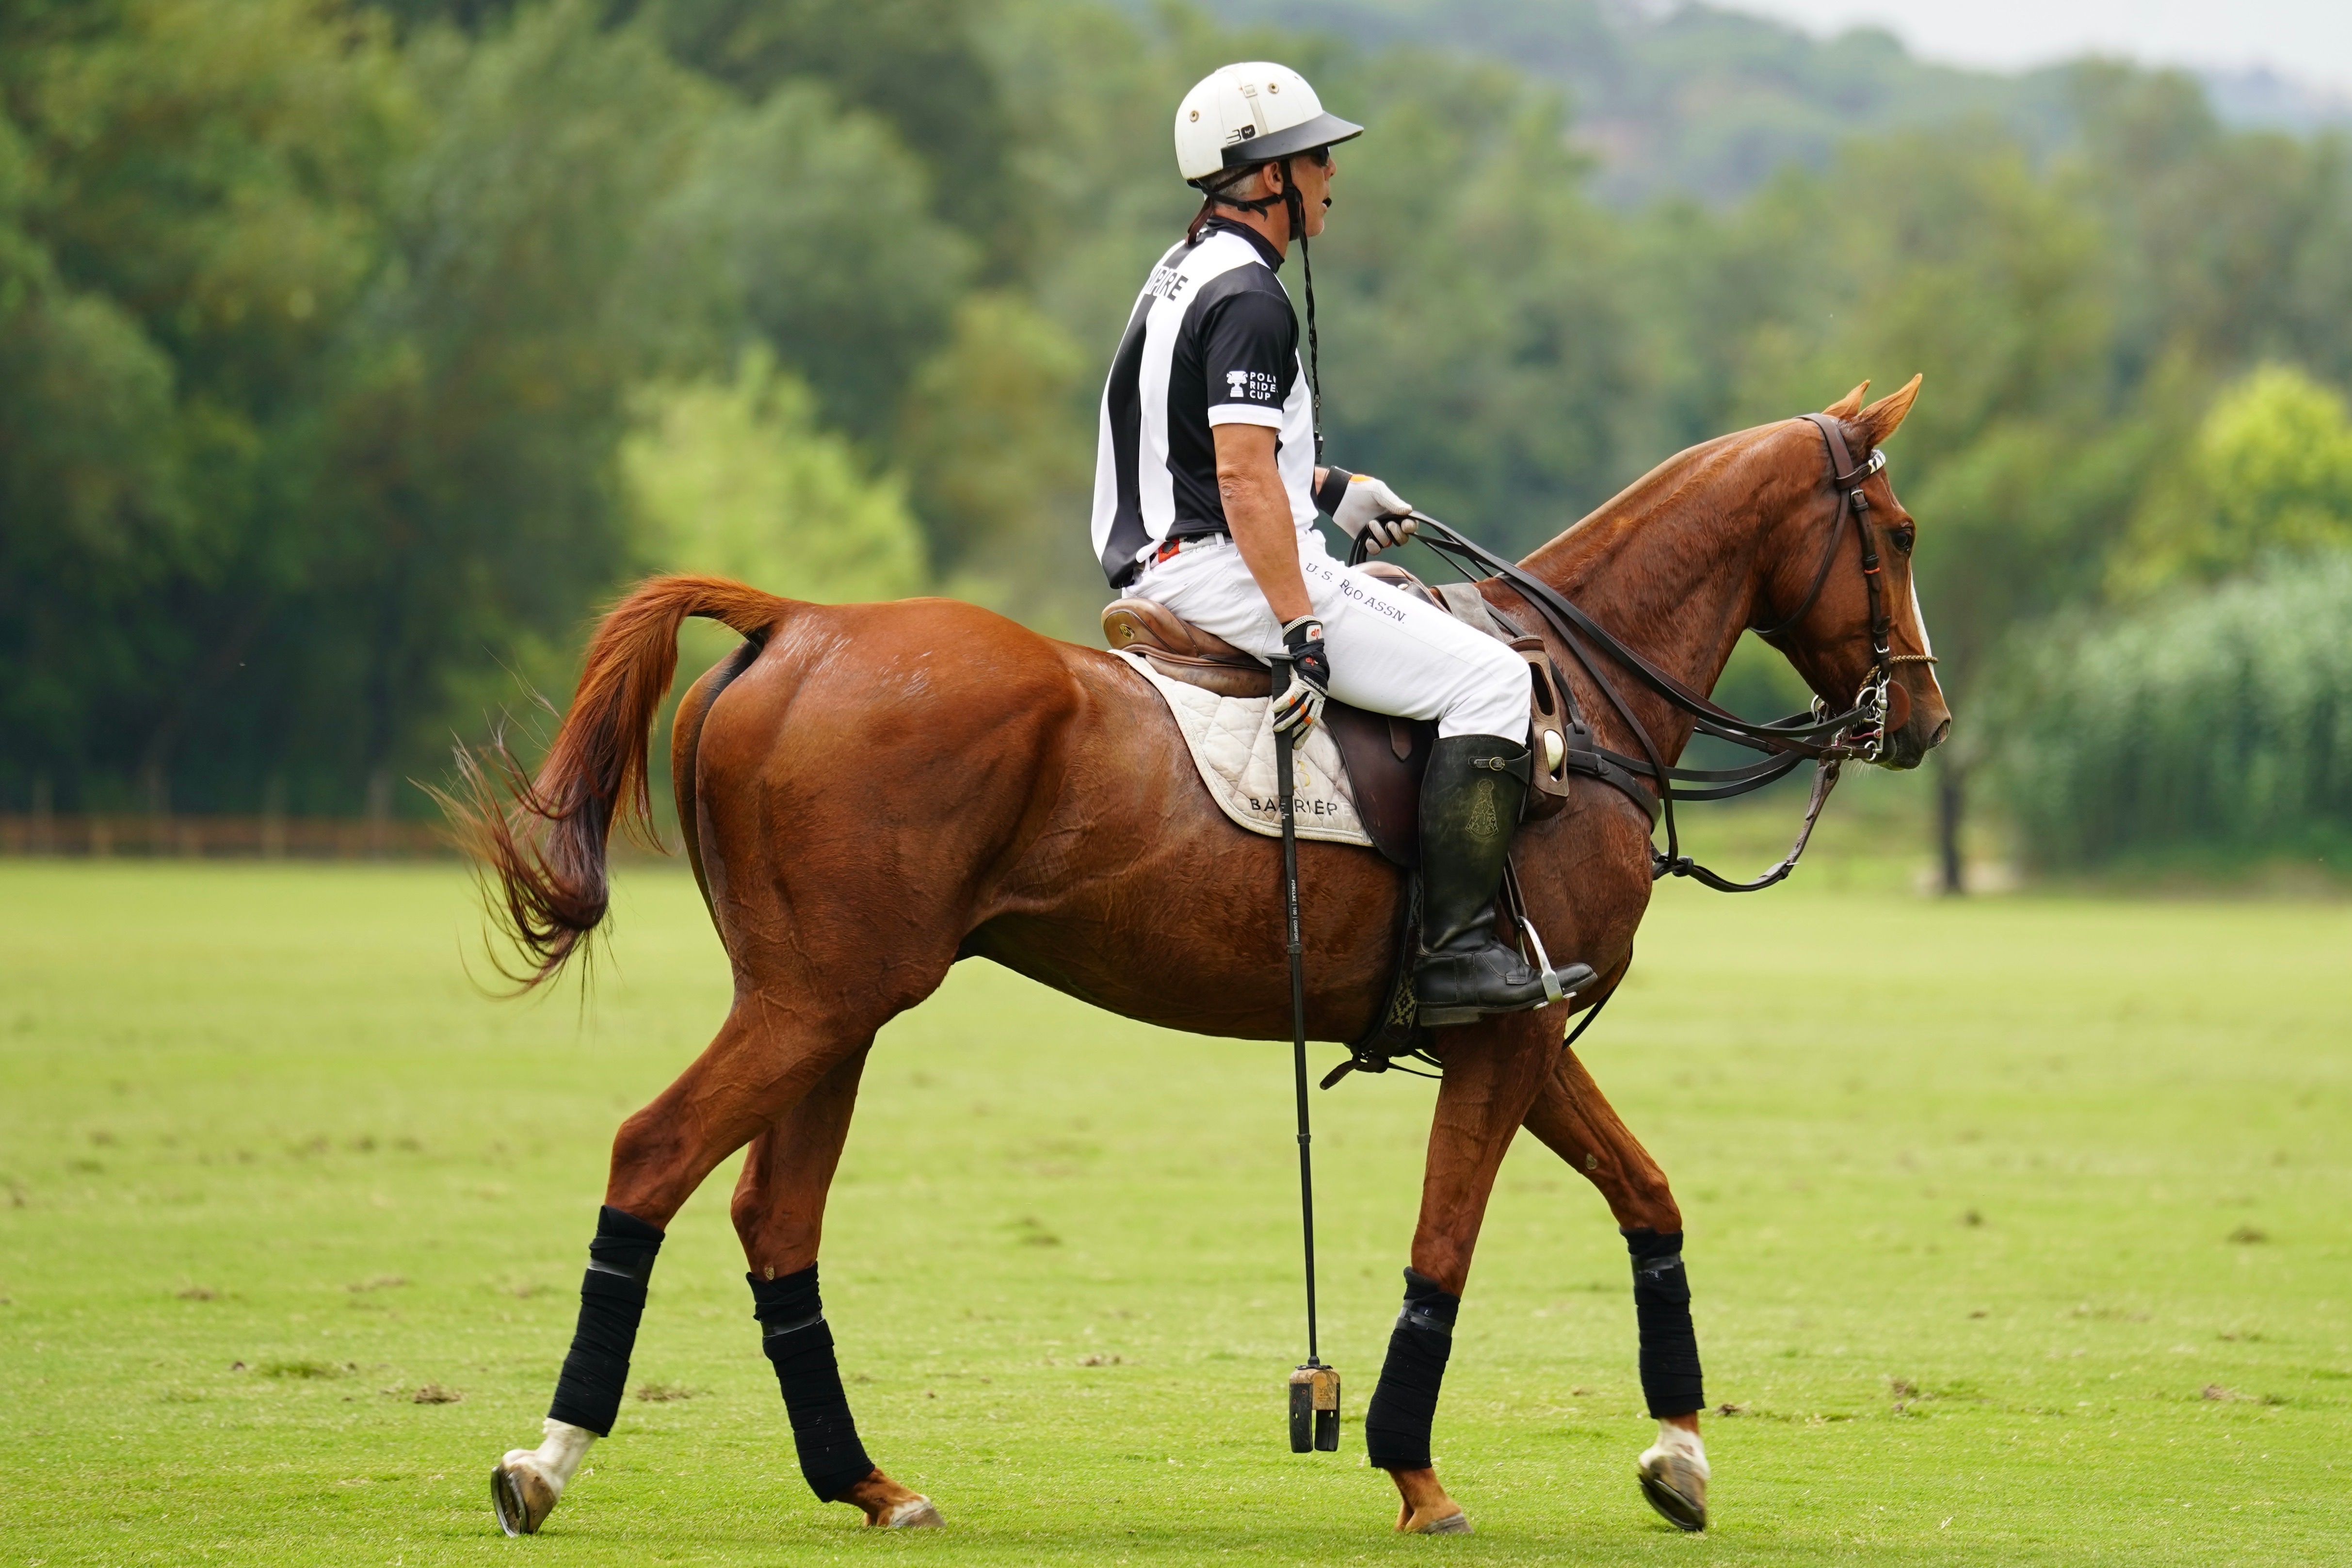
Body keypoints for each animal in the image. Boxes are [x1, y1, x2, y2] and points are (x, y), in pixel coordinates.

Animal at [447, 377, 1950, 1539]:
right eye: (1894, 530)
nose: (1924, 721)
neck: (1579, 705)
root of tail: (793, 618)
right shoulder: (1506, 1027)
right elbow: (1446, 1244)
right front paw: (1414, 1473)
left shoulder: (1514, 1022)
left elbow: (1648, 1196)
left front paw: (1679, 1455)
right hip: (816, 996)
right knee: (654, 1154)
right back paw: (544, 1460)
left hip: (834, 1003)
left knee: (776, 1216)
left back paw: (869, 1483)